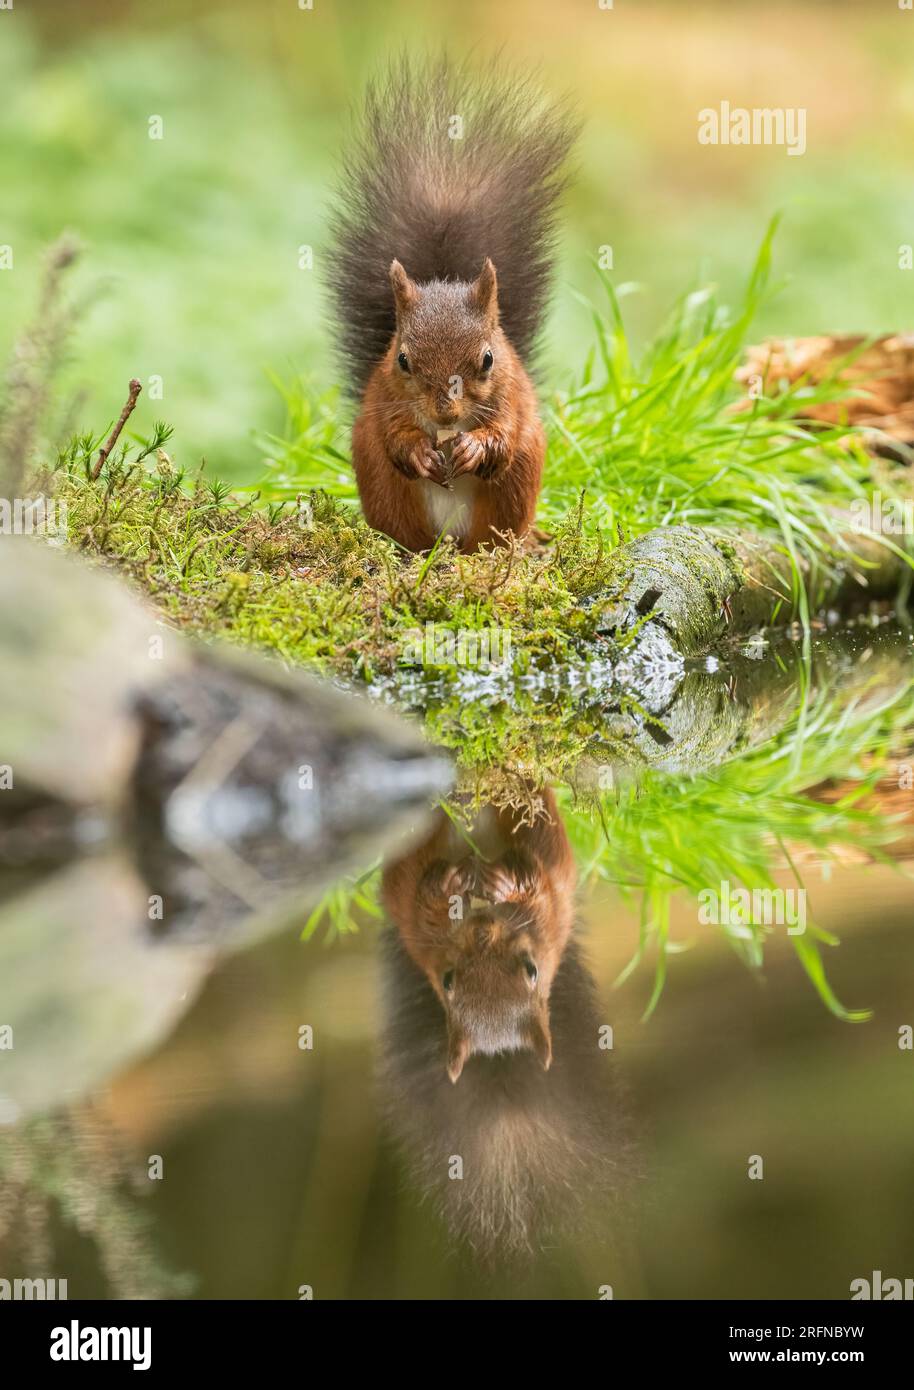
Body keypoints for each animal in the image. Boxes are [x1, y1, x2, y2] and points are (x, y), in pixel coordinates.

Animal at [327, 57, 578, 553]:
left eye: (488, 359)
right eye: (402, 360)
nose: (444, 412)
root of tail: (450, 540)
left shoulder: (512, 396)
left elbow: (503, 434)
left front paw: (476, 447)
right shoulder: (385, 398)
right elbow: (395, 435)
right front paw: (418, 451)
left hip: (515, 487)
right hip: (382, 483)